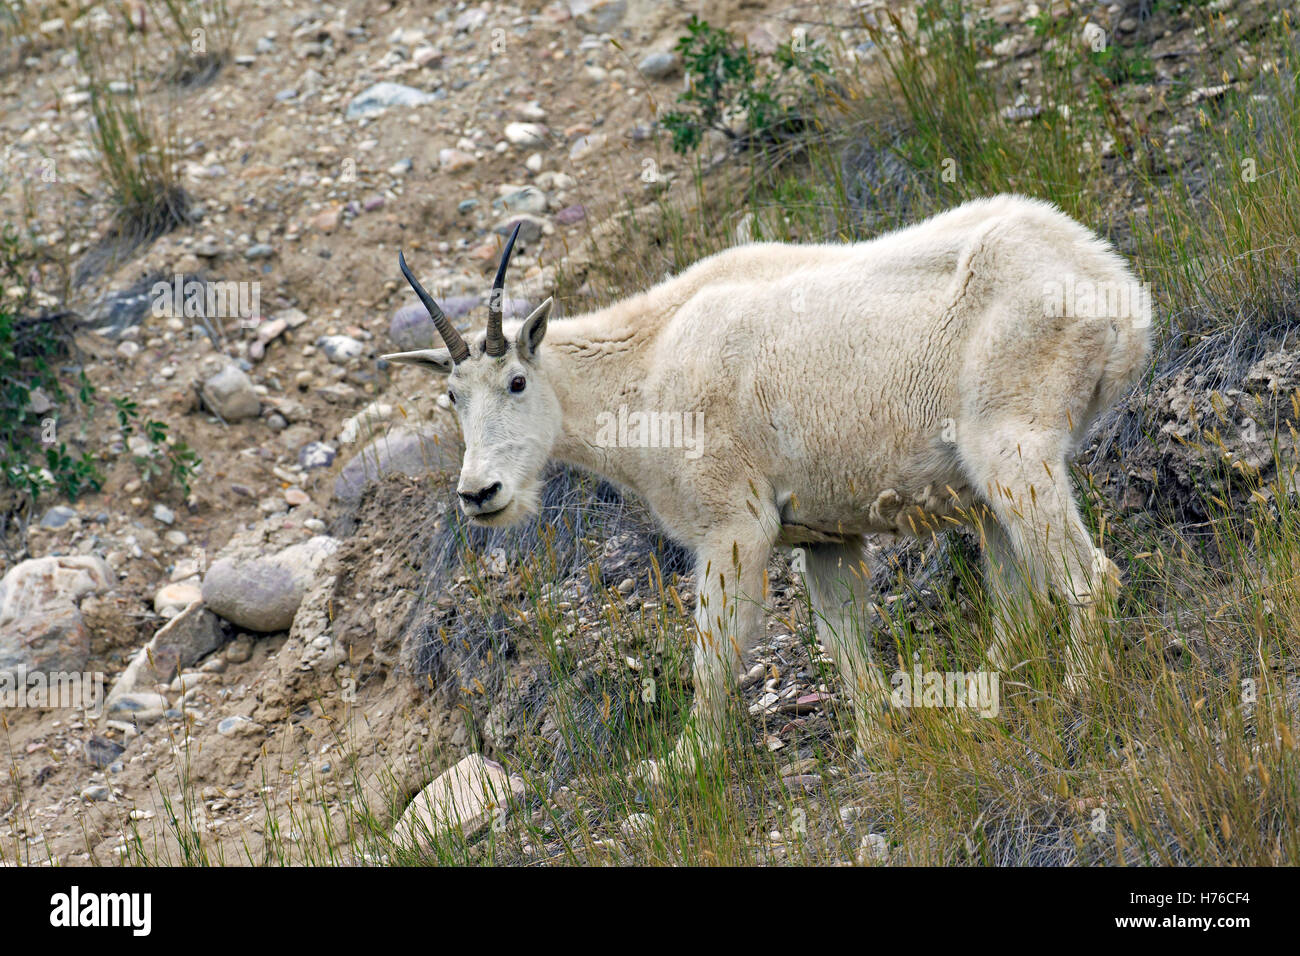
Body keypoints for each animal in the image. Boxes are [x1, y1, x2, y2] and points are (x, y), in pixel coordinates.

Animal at [383, 195, 1152, 783]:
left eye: (516, 381)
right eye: (451, 396)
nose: (479, 493)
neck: (645, 367)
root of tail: (1114, 289)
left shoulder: (732, 526)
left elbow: (714, 657)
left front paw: (679, 767)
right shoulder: (827, 535)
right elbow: (842, 642)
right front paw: (878, 743)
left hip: (1015, 450)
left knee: (1090, 578)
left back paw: (1082, 692)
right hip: (988, 488)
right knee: (1017, 605)